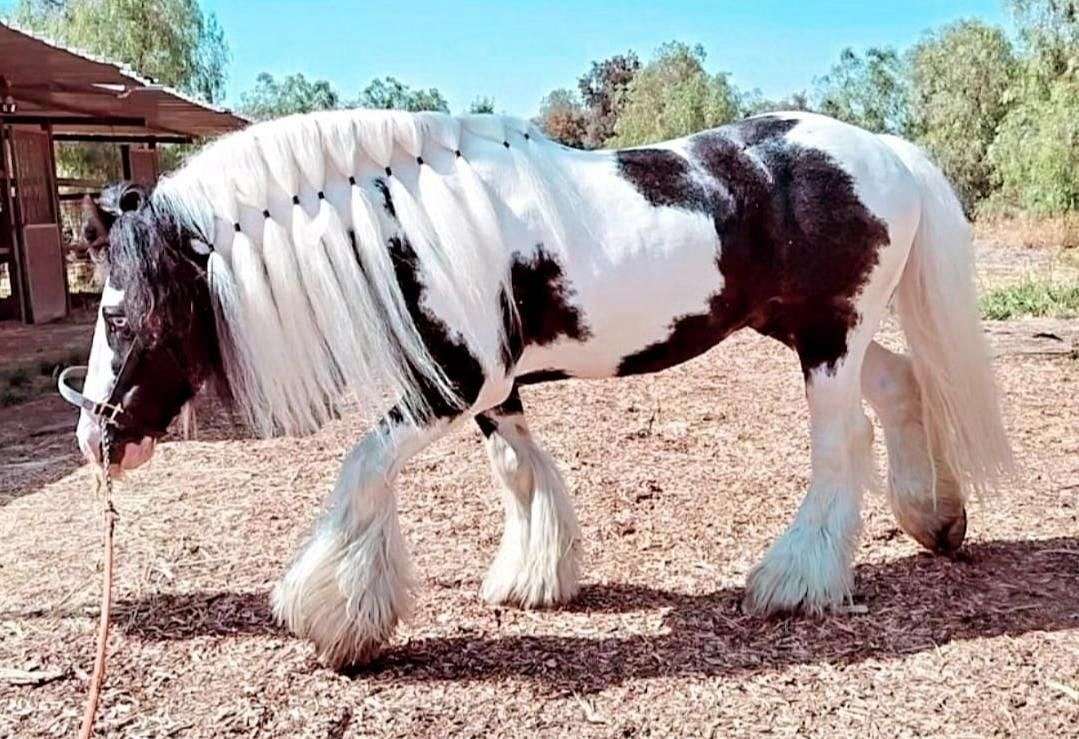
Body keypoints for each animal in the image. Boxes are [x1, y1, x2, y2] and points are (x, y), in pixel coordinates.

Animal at [64, 109, 1014, 669]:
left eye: (115, 311)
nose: (95, 437)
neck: (411, 226)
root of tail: (883, 148)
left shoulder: (449, 387)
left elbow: (363, 469)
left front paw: (335, 618)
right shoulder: (488, 388)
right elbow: (521, 472)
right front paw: (533, 576)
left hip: (826, 335)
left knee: (840, 441)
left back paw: (794, 579)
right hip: (808, 328)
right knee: (898, 384)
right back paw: (935, 518)